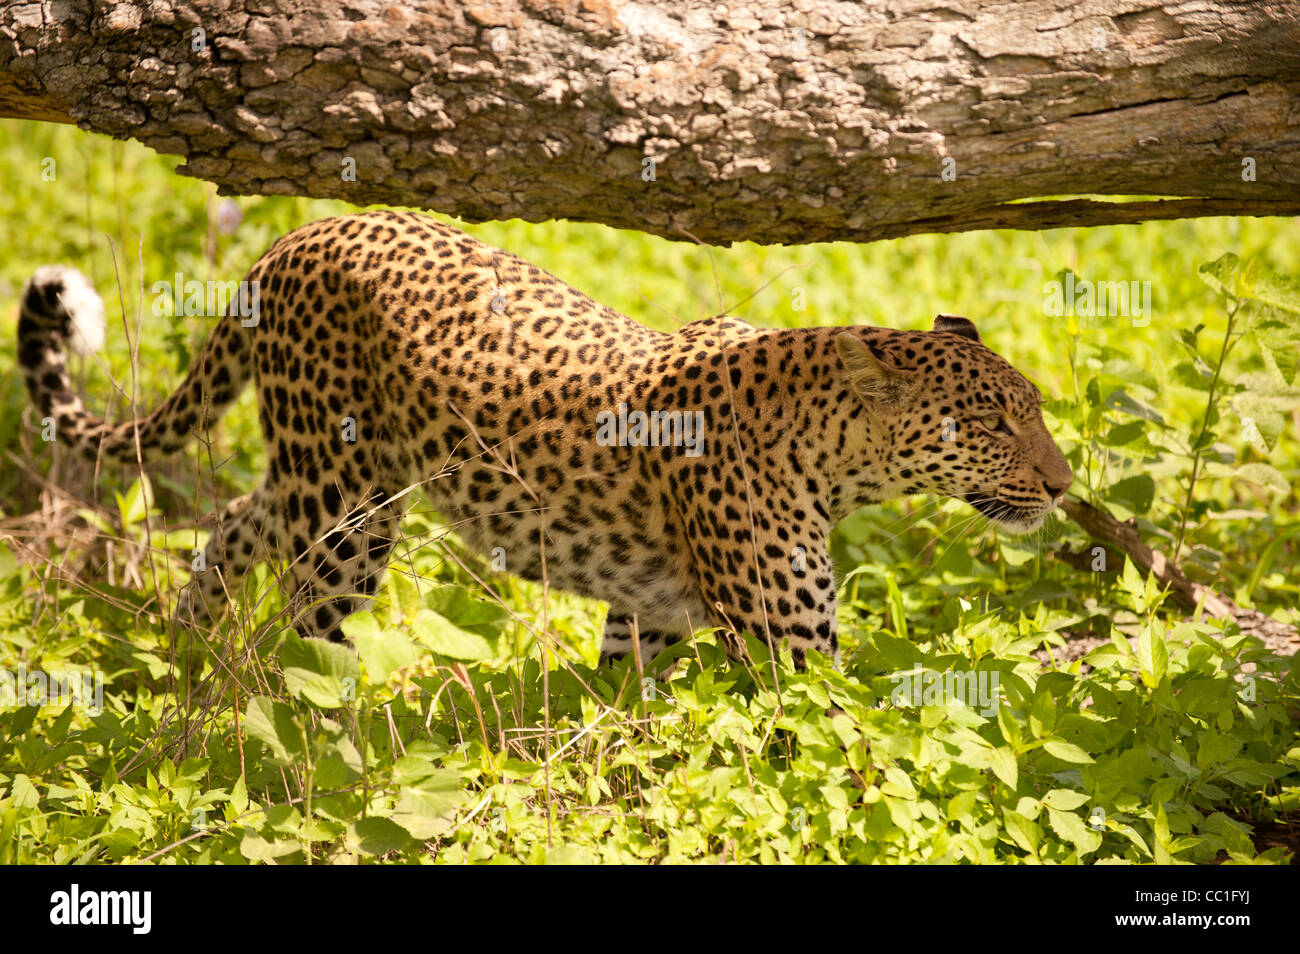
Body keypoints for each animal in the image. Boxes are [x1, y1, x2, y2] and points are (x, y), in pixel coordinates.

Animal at [17, 209, 1073, 668]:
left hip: (326, 473)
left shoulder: (644, 617)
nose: (1064, 487)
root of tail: (298, 234)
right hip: (349, 510)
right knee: (304, 630)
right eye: (991, 421)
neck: (831, 454)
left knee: (236, 518)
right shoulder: (791, 649)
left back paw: (186, 650)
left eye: (1039, 412)